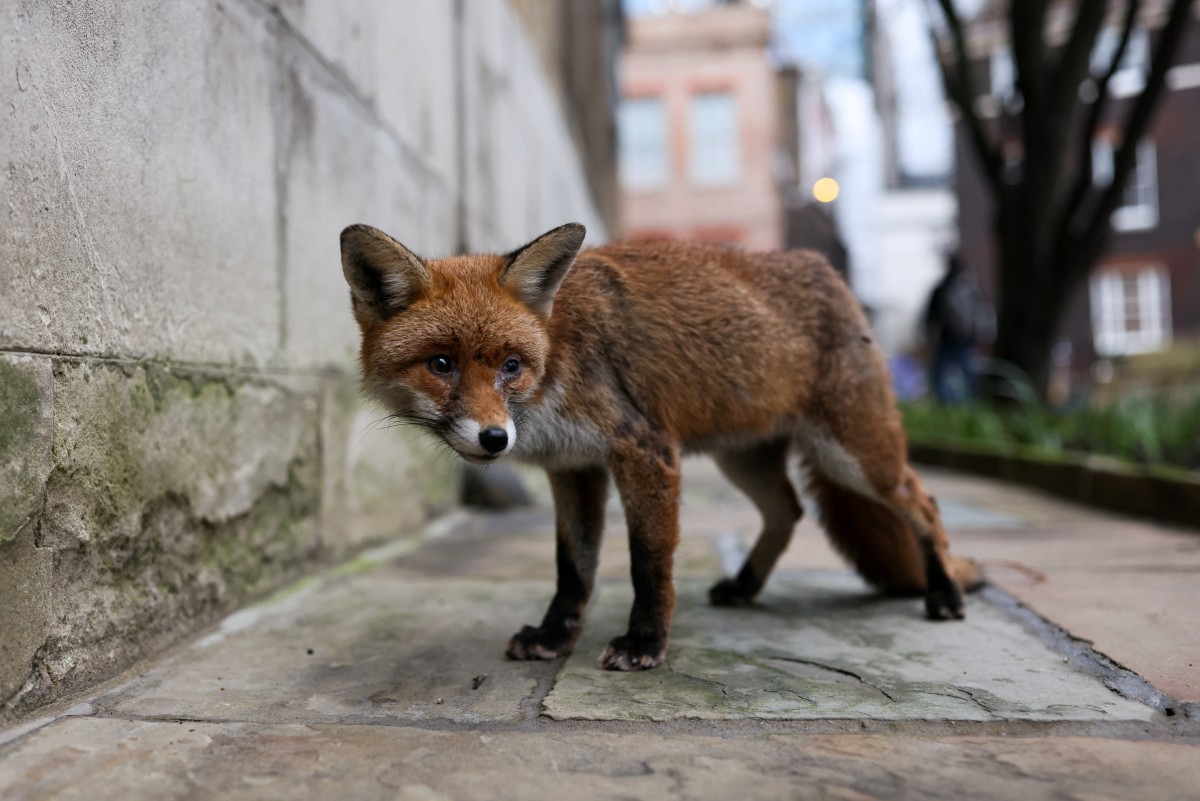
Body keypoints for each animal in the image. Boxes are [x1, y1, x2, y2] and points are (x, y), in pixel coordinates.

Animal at [340, 222, 980, 671]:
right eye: (440, 364)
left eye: (511, 366)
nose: (495, 438)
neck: (558, 354)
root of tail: (824, 269)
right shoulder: (573, 468)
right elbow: (573, 567)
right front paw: (553, 636)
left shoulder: (644, 451)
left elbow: (647, 562)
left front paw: (644, 643)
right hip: (744, 460)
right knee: (789, 510)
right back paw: (745, 586)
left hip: (854, 459)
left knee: (924, 504)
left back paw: (945, 592)